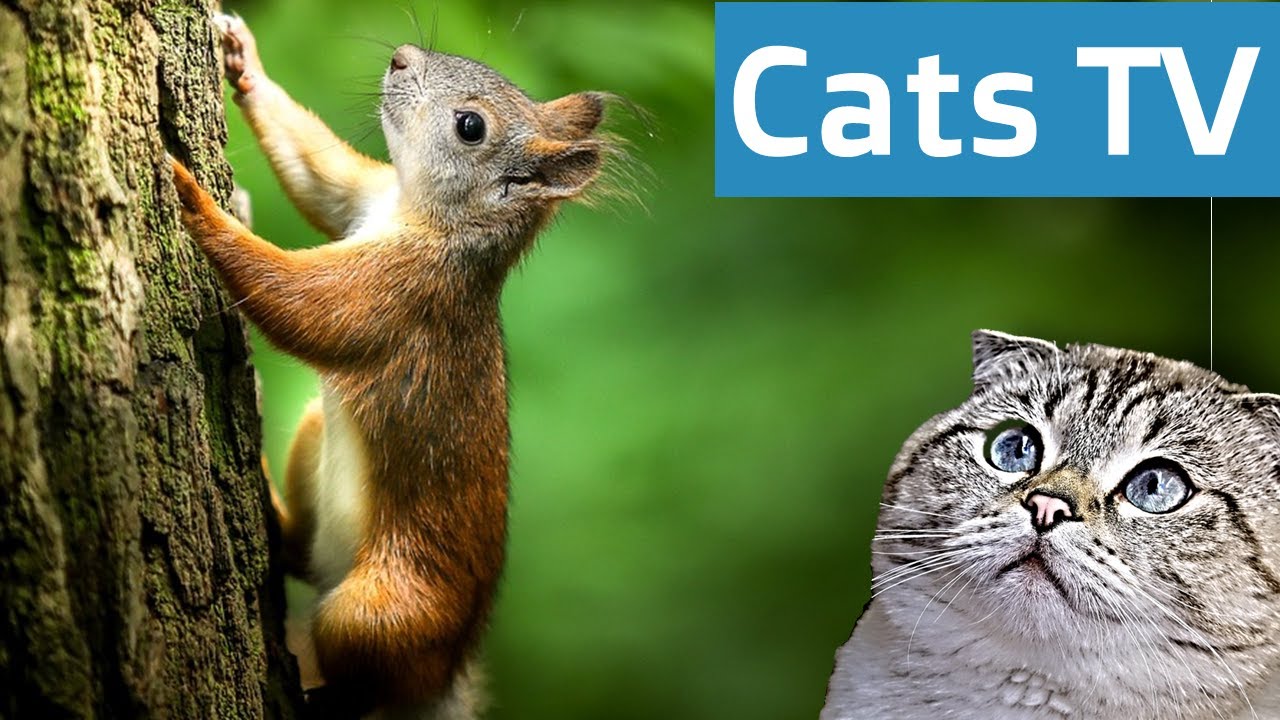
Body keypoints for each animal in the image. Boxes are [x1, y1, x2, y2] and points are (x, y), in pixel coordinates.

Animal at [170, 13, 616, 719]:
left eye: (471, 126)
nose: (402, 57)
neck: (422, 216)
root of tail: (442, 677)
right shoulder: (366, 198)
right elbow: (322, 178)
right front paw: (243, 61)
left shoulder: (404, 293)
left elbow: (299, 303)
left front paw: (196, 204)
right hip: (313, 439)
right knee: (302, 555)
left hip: (377, 613)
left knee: (365, 682)